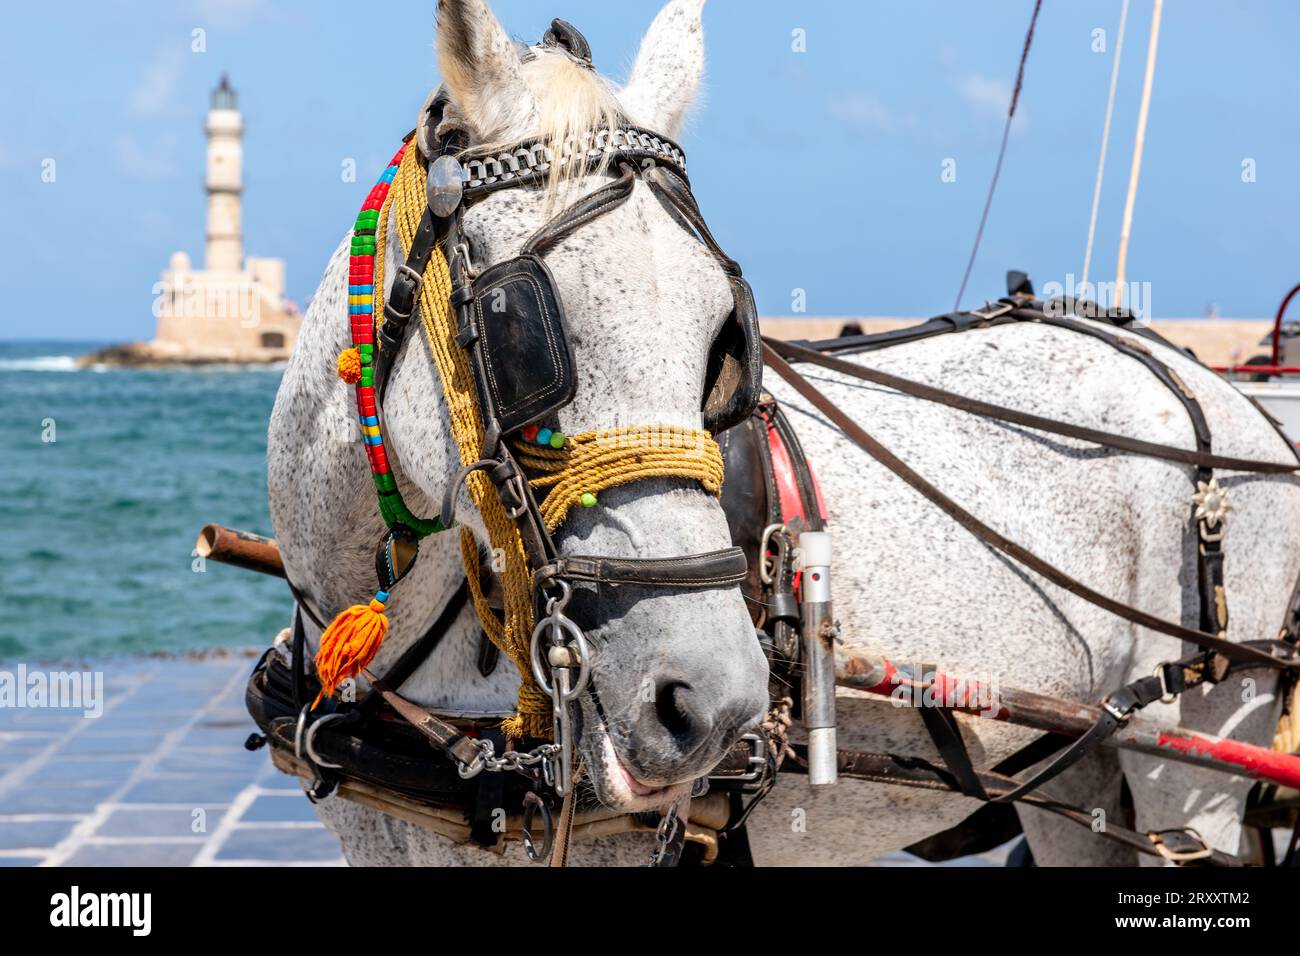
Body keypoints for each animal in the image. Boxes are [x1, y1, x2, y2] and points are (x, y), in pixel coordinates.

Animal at [266, 0, 1300, 866]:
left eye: (723, 334)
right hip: (1079, 772)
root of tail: (1236, 404)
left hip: (1199, 750)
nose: (716, 705)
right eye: (518, 326)